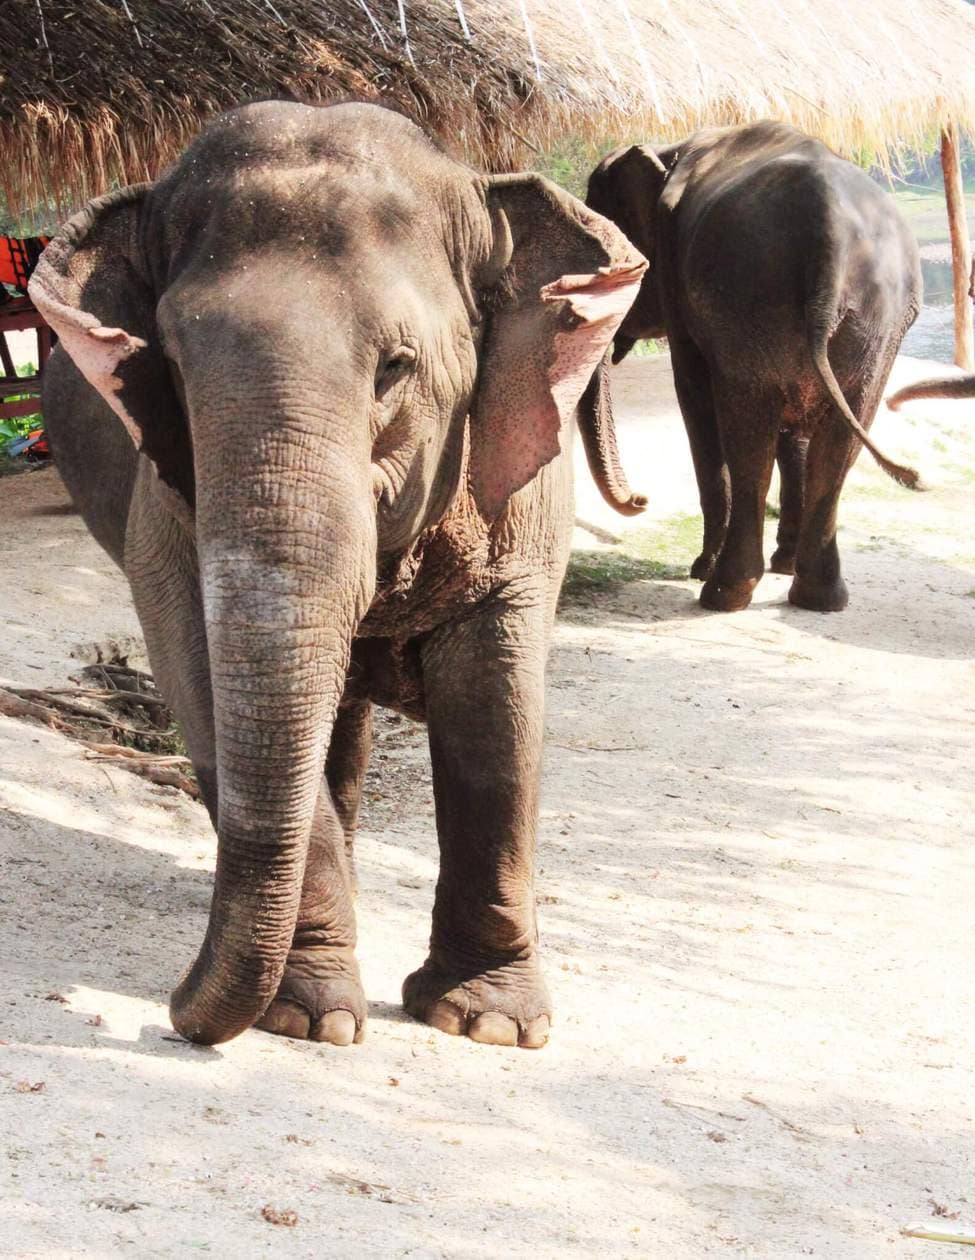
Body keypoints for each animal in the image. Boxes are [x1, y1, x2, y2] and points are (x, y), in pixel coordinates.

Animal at [29, 100, 646, 1049]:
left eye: (395, 366)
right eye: (170, 364)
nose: (172, 1014)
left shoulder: (520, 486)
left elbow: (497, 715)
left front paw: (486, 1025)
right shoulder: (165, 494)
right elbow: (194, 664)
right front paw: (307, 1017)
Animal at [581, 120, 923, 612]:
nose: (641, 499)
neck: (668, 148)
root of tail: (829, 232)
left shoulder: (676, 273)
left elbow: (695, 395)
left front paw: (702, 568)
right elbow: (796, 432)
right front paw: (785, 564)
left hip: (749, 302)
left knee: (748, 437)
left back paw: (721, 591)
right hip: (874, 325)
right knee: (839, 442)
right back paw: (819, 596)